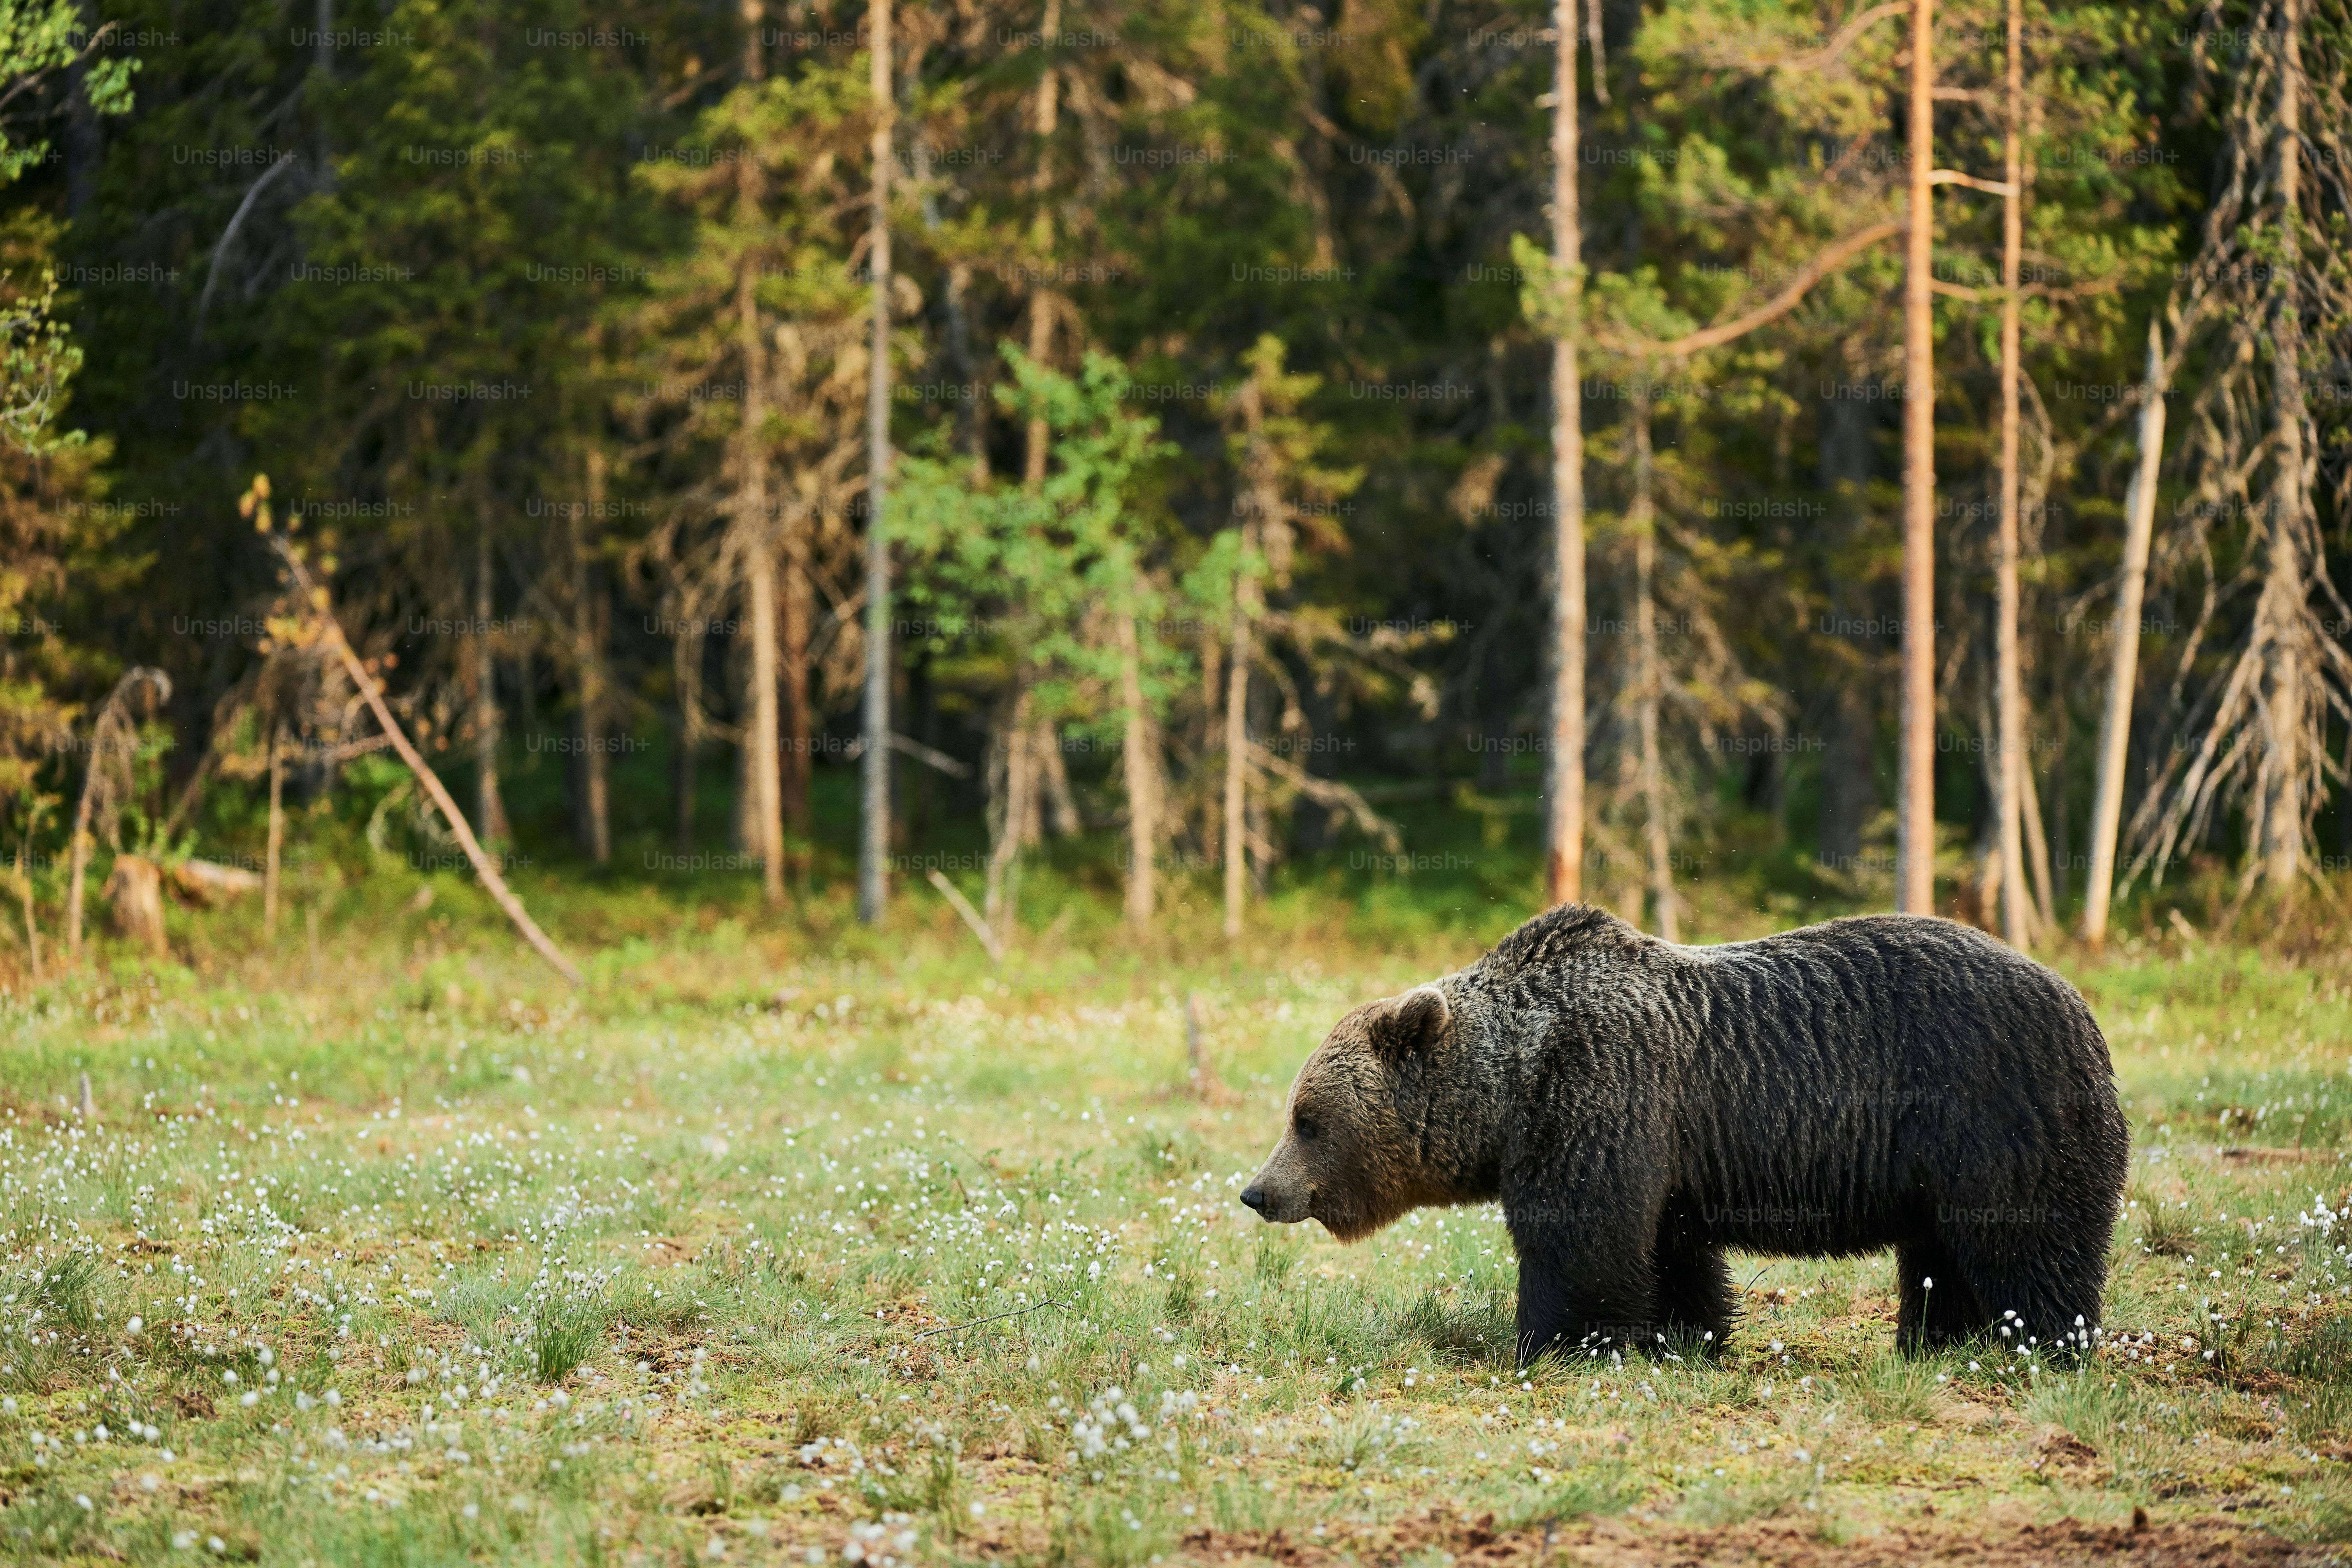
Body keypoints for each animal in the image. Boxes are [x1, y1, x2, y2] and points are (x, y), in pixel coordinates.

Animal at [1240, 904, 2129, 1365]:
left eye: (1306, 1118)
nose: (1258, 1189)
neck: (1511, 1086)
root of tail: (2080, 1003)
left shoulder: (1599, 1095)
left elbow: (1581, 1239)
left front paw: (1552, 1341)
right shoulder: (1663, 1150)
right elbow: (1669, 1250)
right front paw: (1686, 1335)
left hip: (1994, 1117)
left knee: (2027, 1246)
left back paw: (2042, 1343)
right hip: (1943, 1164)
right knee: (1942, 1254)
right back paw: (1938, 1341)